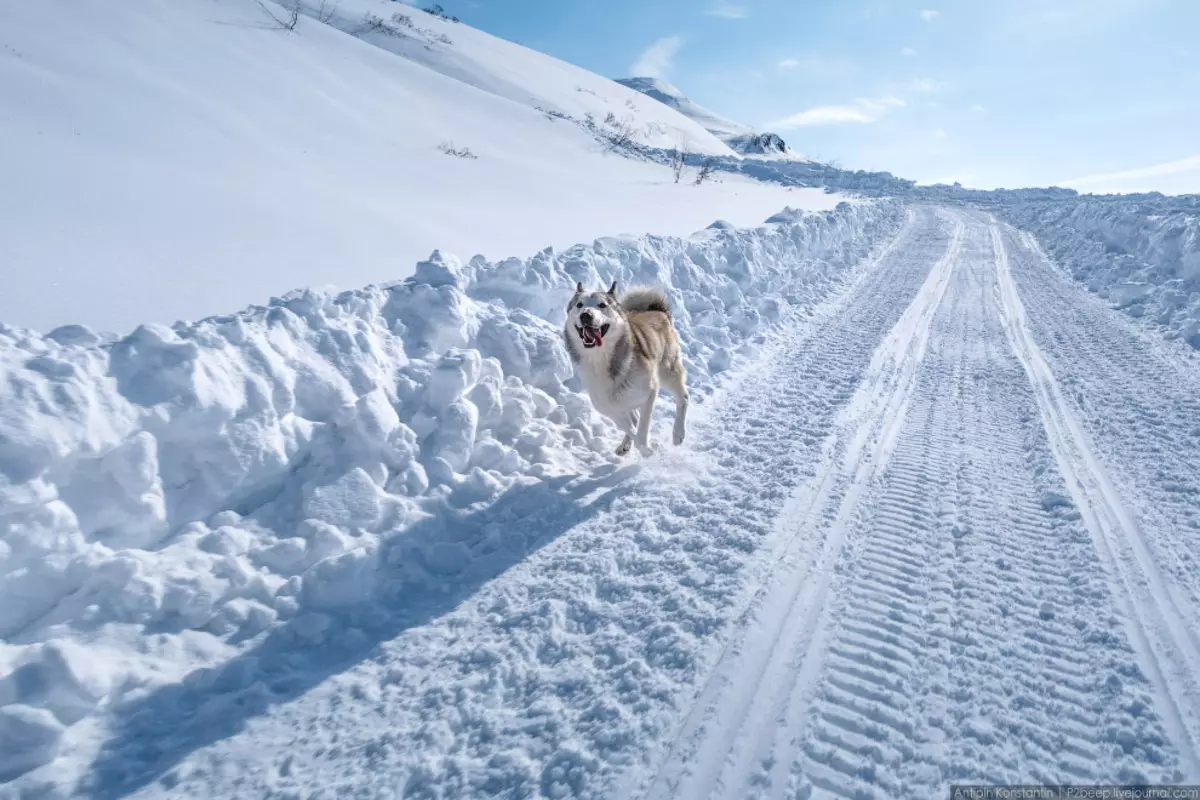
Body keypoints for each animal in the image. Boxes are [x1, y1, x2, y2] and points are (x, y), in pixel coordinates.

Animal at [559, 281, 686, 455]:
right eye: (579, 305)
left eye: (602, 305)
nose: (585, 315)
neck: (600, 360)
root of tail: (656, 309)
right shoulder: (608, 408)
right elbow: (631, 428)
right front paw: (641, 447)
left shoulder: (650, 392)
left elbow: (641, 429)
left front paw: (646, 449)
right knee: (633, 418)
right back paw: (625, 445)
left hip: (667, 371)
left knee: (683, 398)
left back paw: (678, 434)